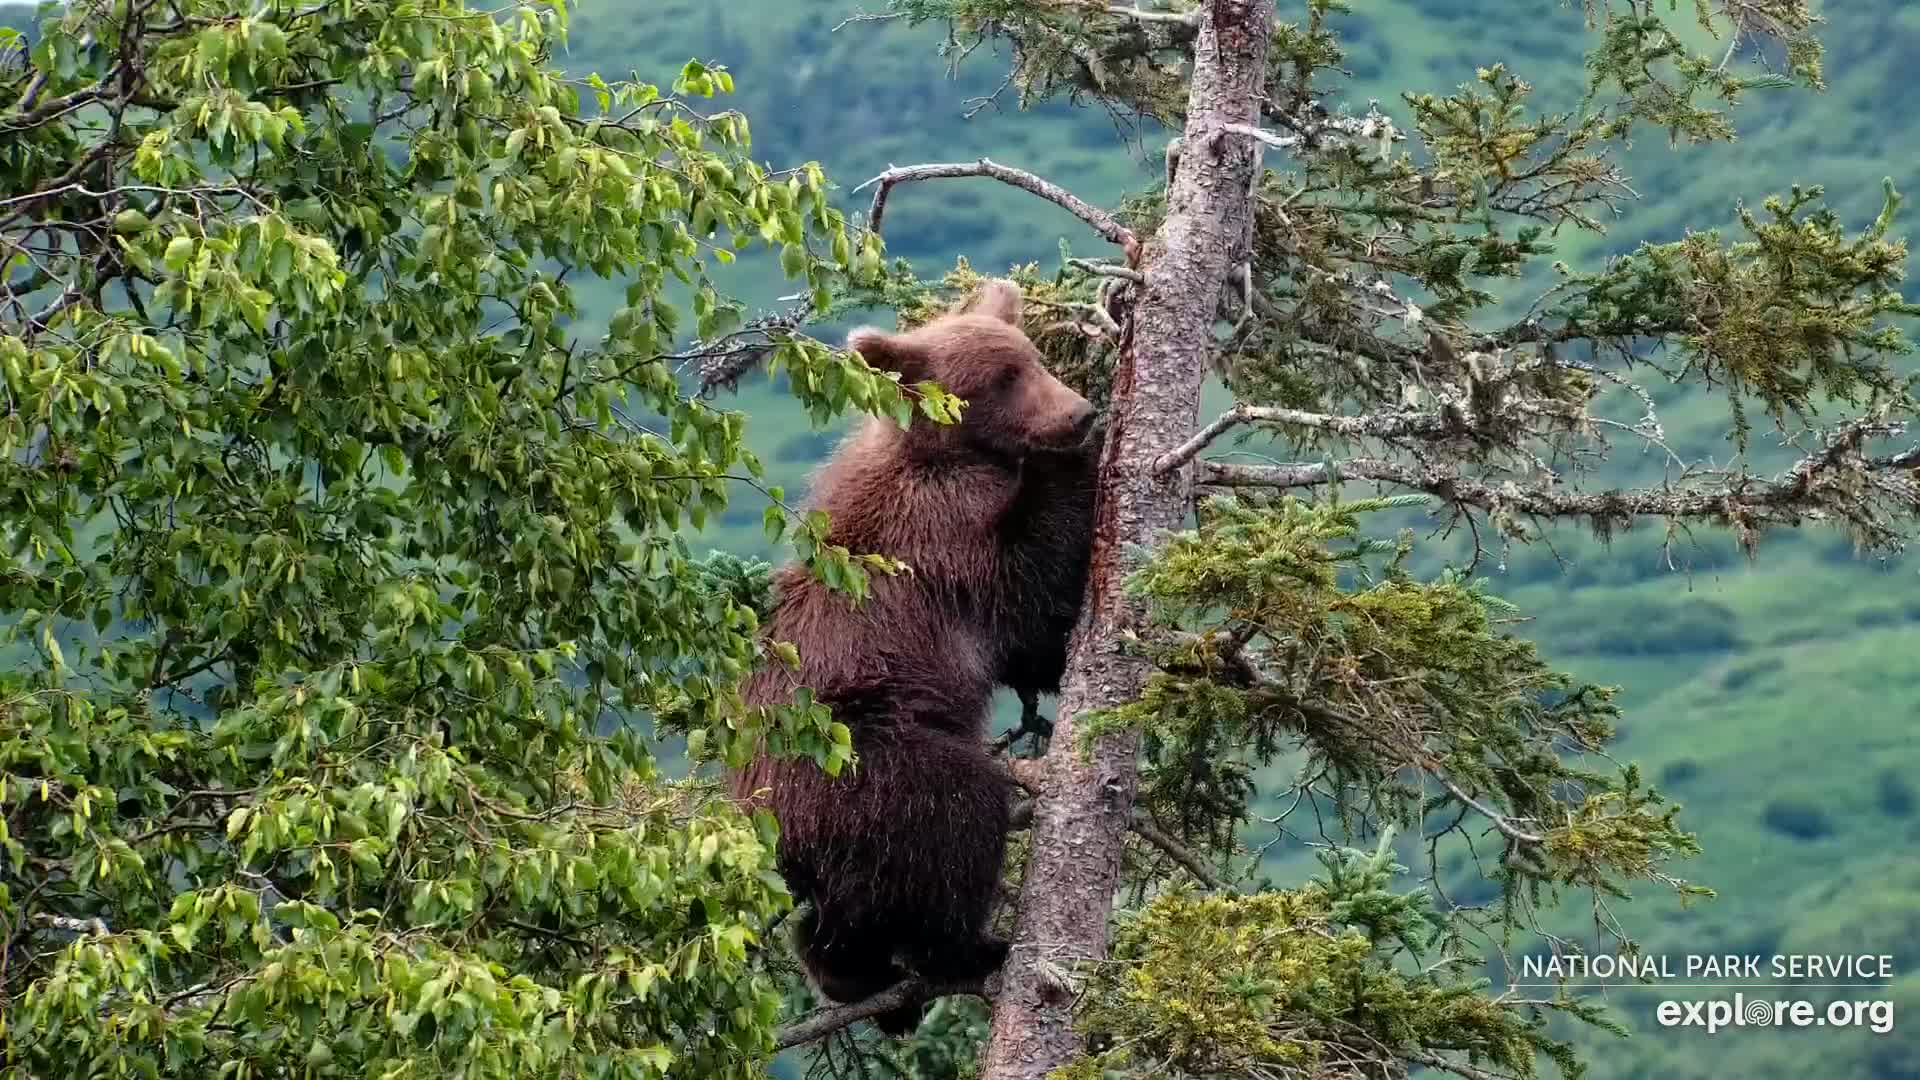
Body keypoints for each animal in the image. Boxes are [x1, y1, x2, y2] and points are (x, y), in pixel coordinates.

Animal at [731, 279, 1097, 1035]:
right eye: (1005, 378)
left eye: (1034, 358)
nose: (1078, 414)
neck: (958, 454)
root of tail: (768, 825)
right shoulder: (941, 536)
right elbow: (1027, 597)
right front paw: (1065, 465)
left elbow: (1031, 646)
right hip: (870, 761)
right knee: (955, 818)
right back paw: (971, 949)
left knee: (847, 908)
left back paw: (850, 976)